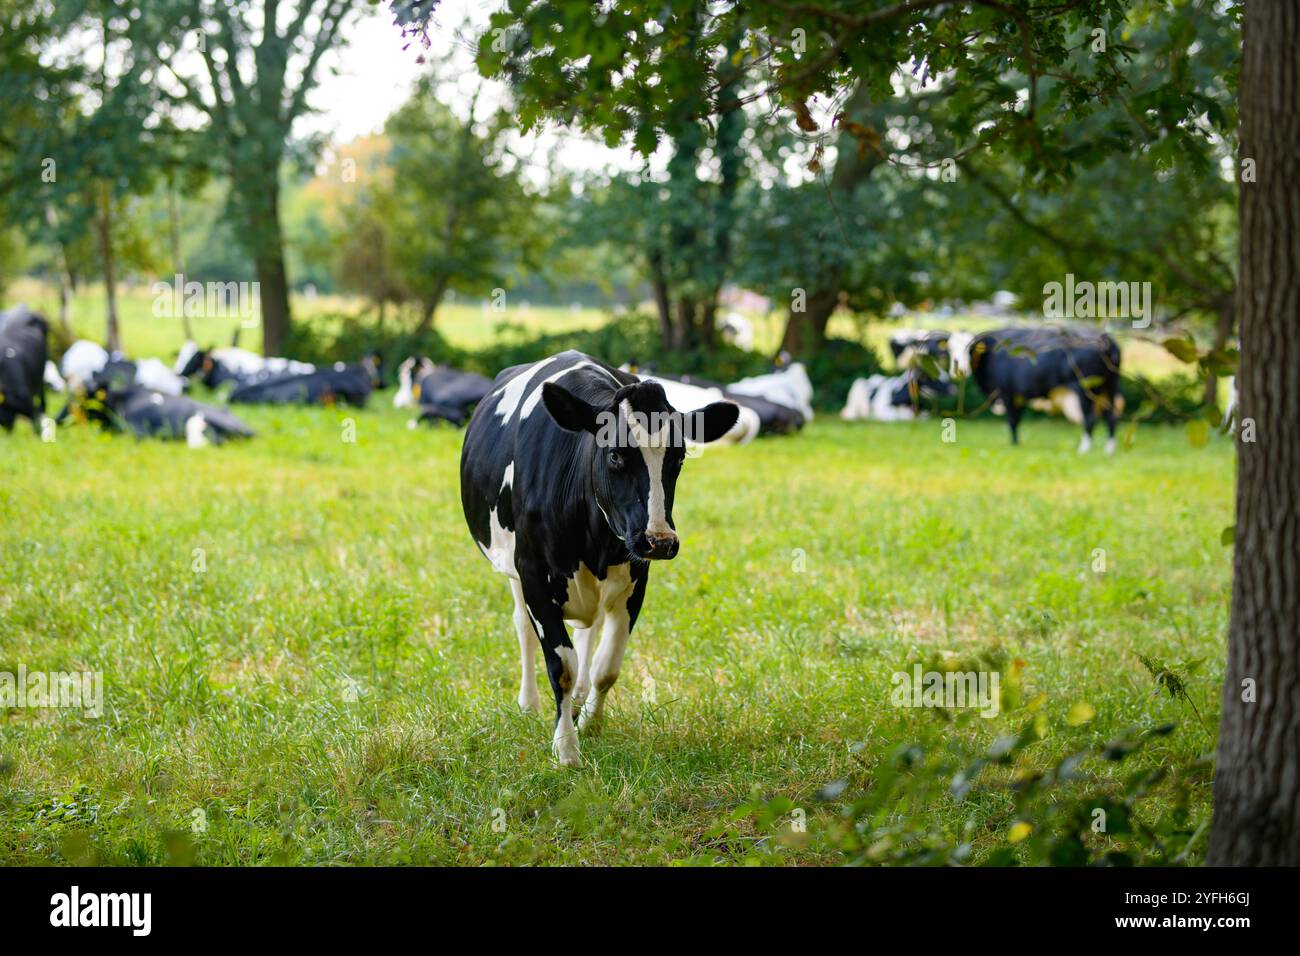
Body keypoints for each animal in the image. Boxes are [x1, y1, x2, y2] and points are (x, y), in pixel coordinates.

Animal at [460, 350, 738, 766]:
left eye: (679, 457)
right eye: (615, 455)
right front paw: (566, 749)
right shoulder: (533, 572)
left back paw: (578, 699)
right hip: (511, 567)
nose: (659, 540)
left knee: (586, 632)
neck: (594, 540)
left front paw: (589, 723)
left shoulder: (637, 578)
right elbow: (561, 664)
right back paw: (529, 703)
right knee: (523, 626)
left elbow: (606, 666)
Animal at [946, 326, 1122, 451]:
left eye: (970, 348)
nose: (958, 368)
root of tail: (1107, 339)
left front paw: (1013, 445)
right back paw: (1109, 449)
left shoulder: (1007, 392)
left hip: (1086, 388)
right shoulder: (1019, 395)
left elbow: (1012, 420)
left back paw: (1084, 449)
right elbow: (1016, 420)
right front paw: (1016, 443)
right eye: (950, 348)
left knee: (1090, 418)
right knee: (1111, 416)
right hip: (1110, 386)